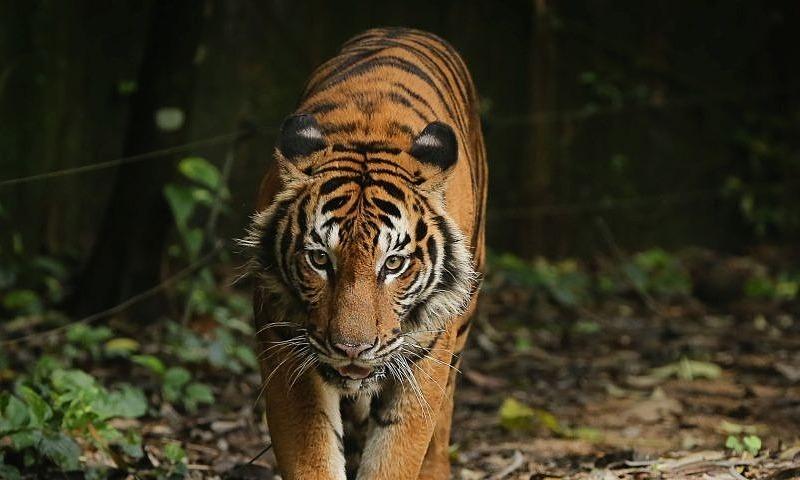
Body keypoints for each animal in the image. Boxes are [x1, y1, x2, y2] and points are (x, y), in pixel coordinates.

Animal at [242, 27, 487, 480]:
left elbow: (398, 451)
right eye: (320, 259)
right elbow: (311, 453)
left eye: (393, 263)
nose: (351, 349)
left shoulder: (429, 351)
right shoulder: (284, 344)